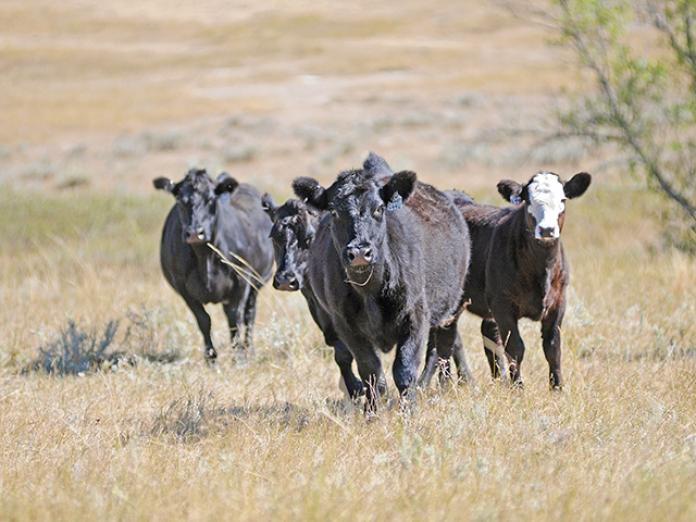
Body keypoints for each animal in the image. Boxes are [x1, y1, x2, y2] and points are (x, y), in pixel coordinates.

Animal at [153, 168, 273, 362]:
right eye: (179, 200)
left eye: (210, 199)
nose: (195, 232)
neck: (205, 257)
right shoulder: (183, 288)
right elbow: (203, 320)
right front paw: (211, 357)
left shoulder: (242, 279)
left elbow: (236, 318)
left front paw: (239, 356)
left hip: (256, 284)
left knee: (249, 315)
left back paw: (250, 348)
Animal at [292, 165, 471, 412]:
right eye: (334, 212)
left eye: (379, 209)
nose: (359, 252)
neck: (370, 290)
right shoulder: (346, 326)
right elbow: (370, 371)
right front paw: (371, 413)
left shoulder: (416, 316)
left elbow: (404, 369)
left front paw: (407, 411)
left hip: (448, 311)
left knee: (441, 347)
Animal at [453, 171, 591, 388]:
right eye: (528, 201)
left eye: (562, 200)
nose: (546, 229)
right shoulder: (502, 305)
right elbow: (515, 347)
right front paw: (518, 387)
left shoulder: (559, 302)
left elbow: (553, 347)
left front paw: (557, 388)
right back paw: (462, 380)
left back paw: (497, 380)